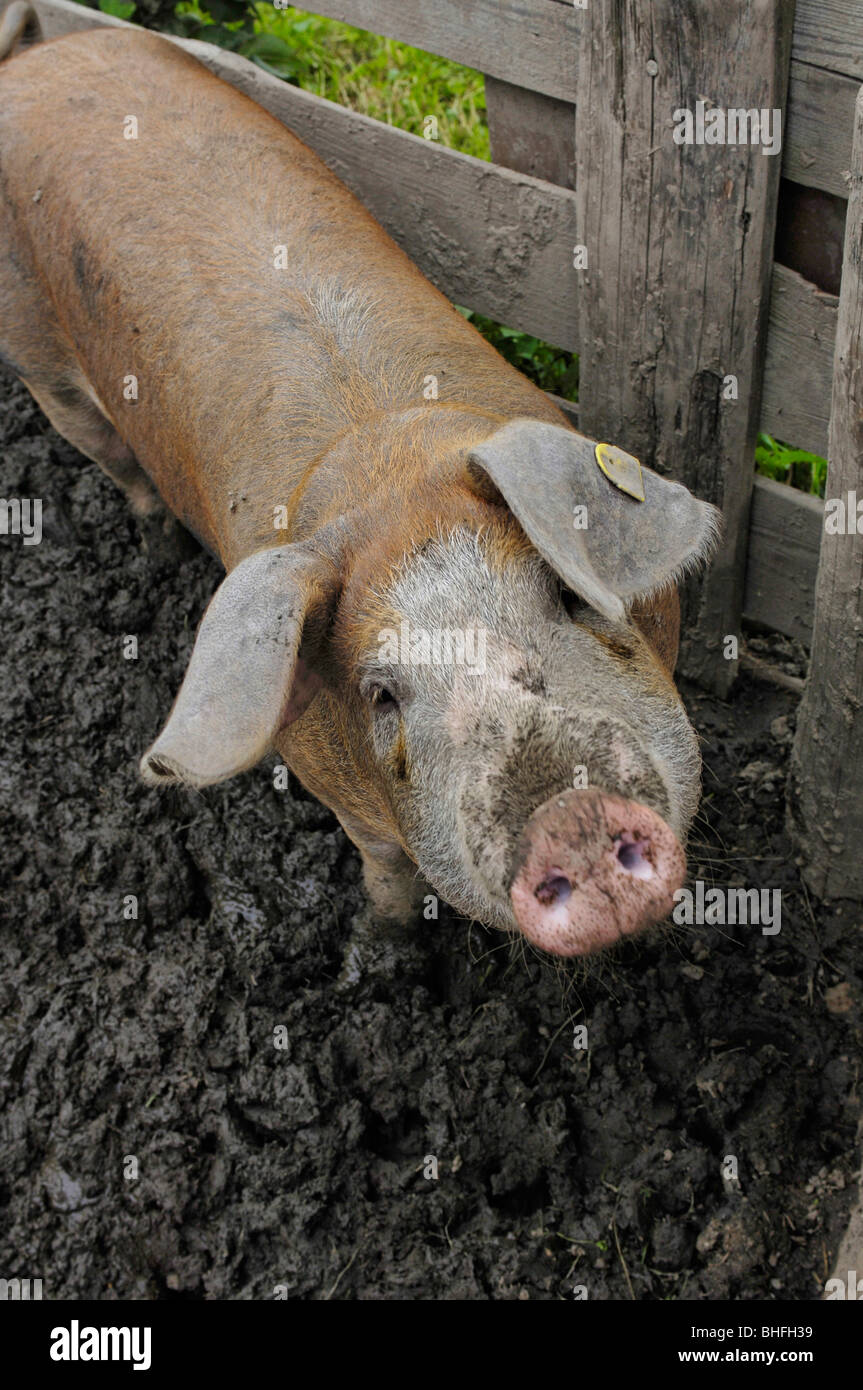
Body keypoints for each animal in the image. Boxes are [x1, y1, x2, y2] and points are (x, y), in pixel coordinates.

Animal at [0, 20, 720, 957]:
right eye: (381, 694)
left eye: (567, 599)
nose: (571, 818)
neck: (385, 466)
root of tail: (31, 60)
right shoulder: (345, 800)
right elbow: (387, 877)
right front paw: (378, 952)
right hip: (39, 359)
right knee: (112, 459)